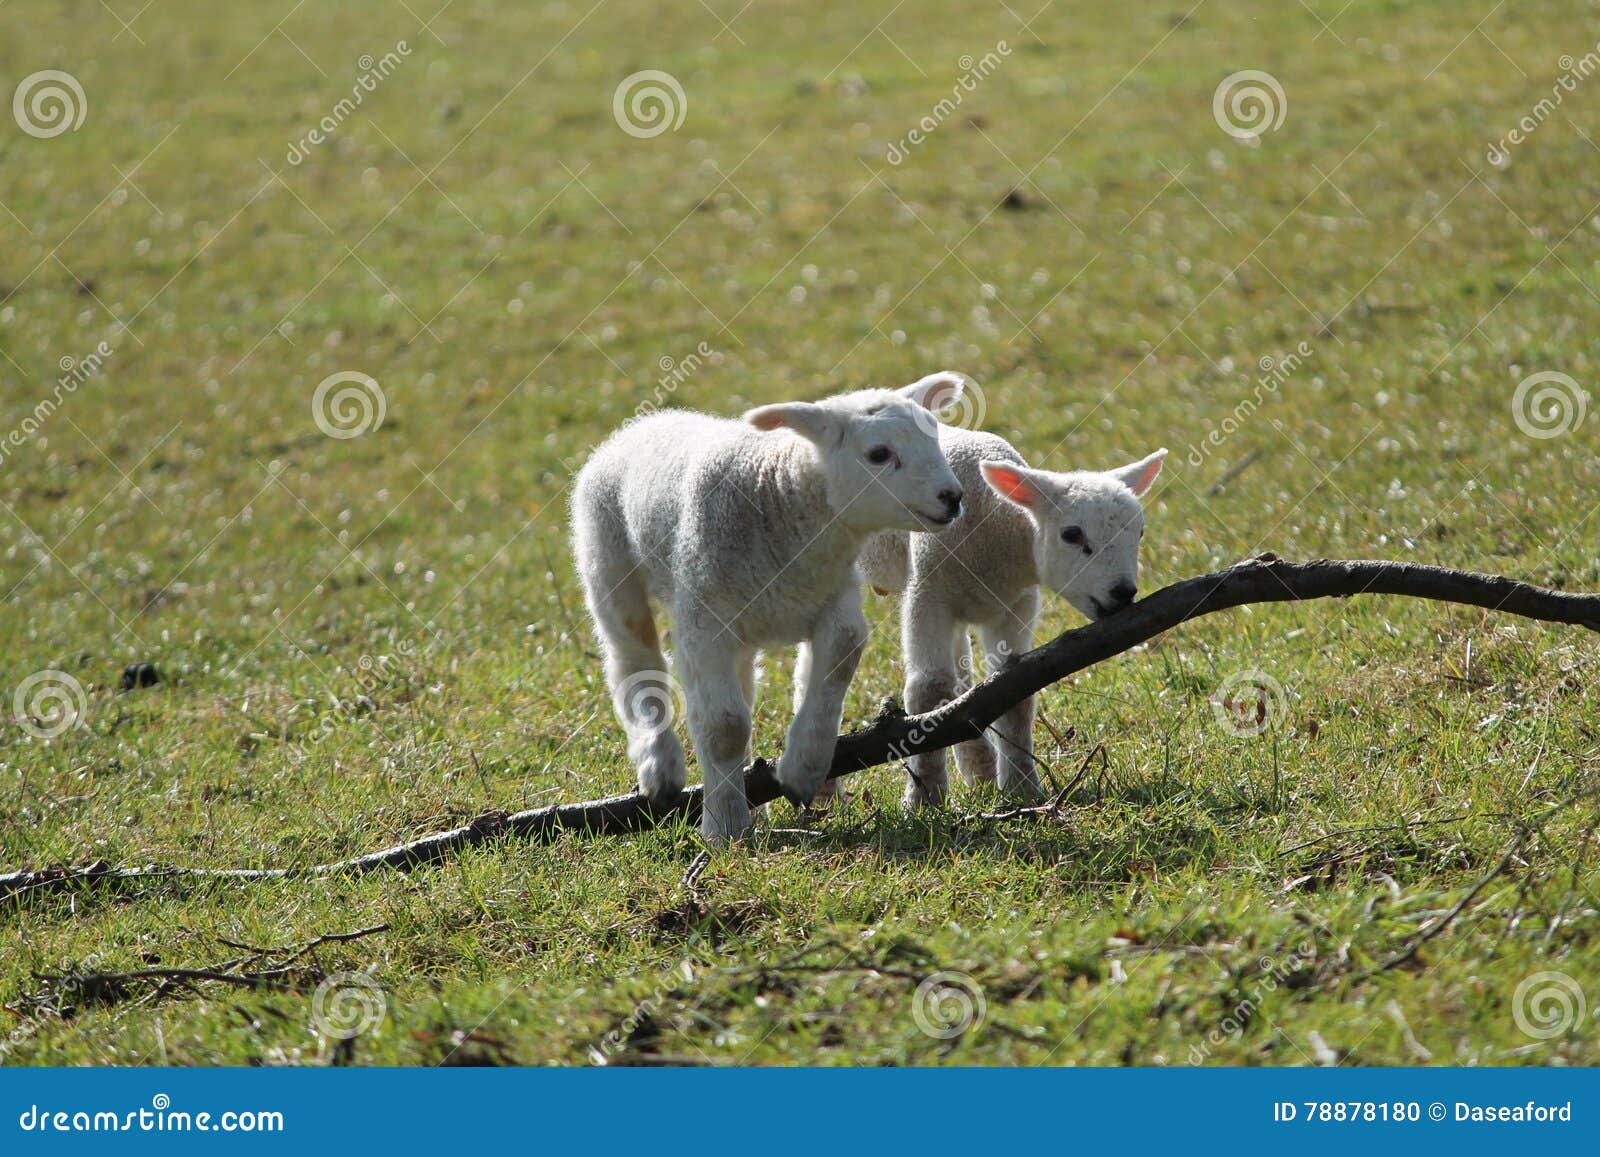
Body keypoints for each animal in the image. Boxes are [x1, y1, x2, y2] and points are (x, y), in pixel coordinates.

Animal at [571, 373, 967, 842]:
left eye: (935, 436)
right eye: (878, 454)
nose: (952, 497)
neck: (784, 497)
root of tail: (644, 423)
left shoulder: (834, 601)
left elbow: (841, 657)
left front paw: (802, 768)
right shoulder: (702, 624)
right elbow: (724, 728)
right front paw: (725, 828)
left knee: (740, 684)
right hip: (608, 560)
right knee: (633, 661)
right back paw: (661, 769)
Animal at [858, 426, 1165, 807]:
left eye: (1140, 532)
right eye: (1071, 534)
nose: (1123, 592)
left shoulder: (1015, 602)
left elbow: (1013, 686)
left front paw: (1022, 788)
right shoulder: (927, 594)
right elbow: (929, 689)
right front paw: (924, 797)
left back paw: (981, 768)